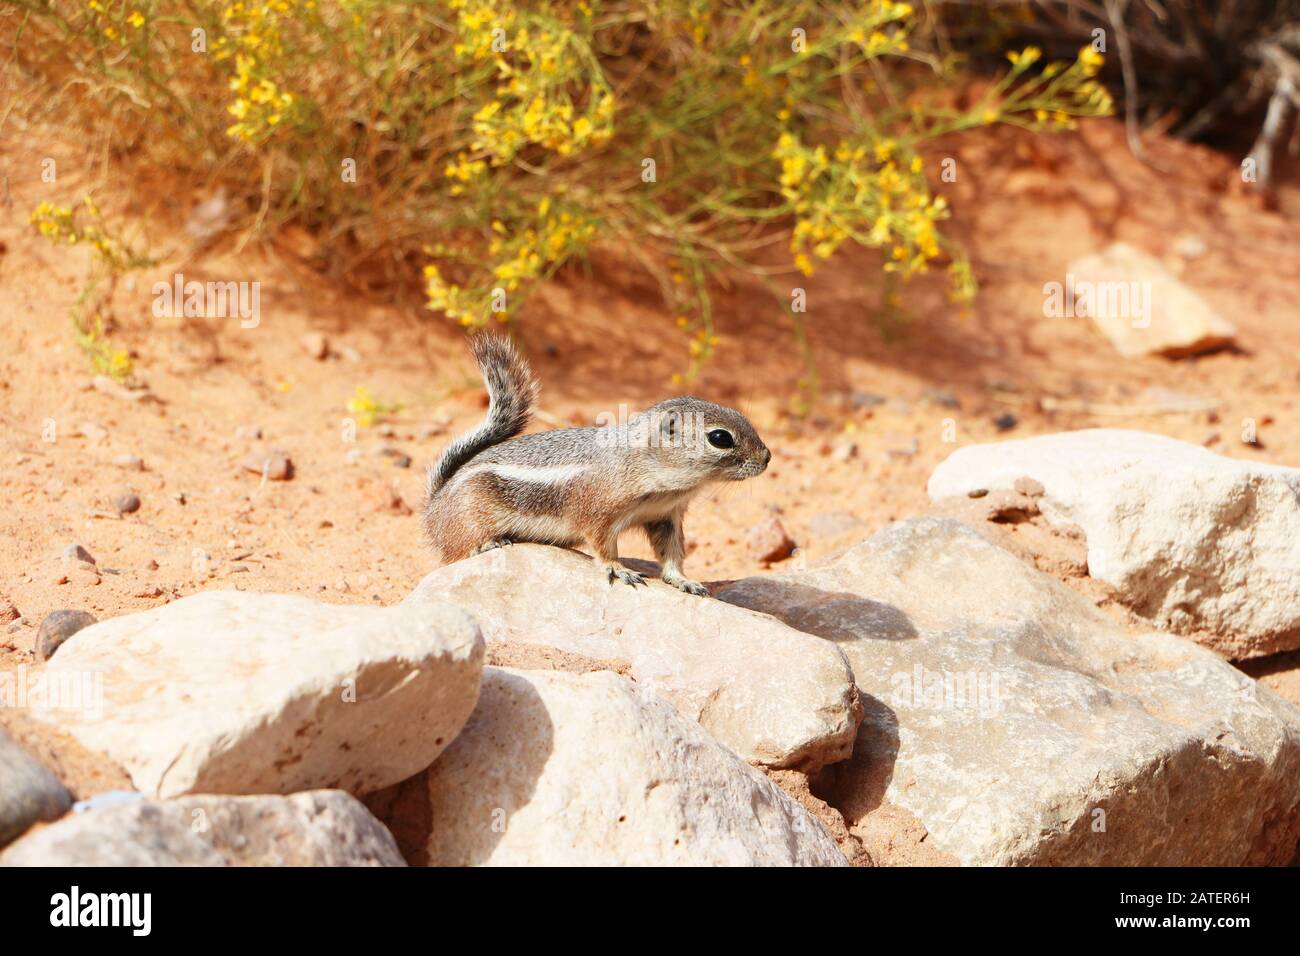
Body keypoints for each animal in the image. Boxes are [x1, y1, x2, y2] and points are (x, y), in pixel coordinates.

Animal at [422, 334, 771, 594]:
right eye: (720, 437)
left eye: (740, 415)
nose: (766, 457)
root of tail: (434, 505)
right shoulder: (597, 511)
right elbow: (602, 546)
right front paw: (618, 568)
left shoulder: (665, 517)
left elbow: (671, 553)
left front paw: (684, 580)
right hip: (470, 518)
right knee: (456, 552)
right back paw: (487, 544)